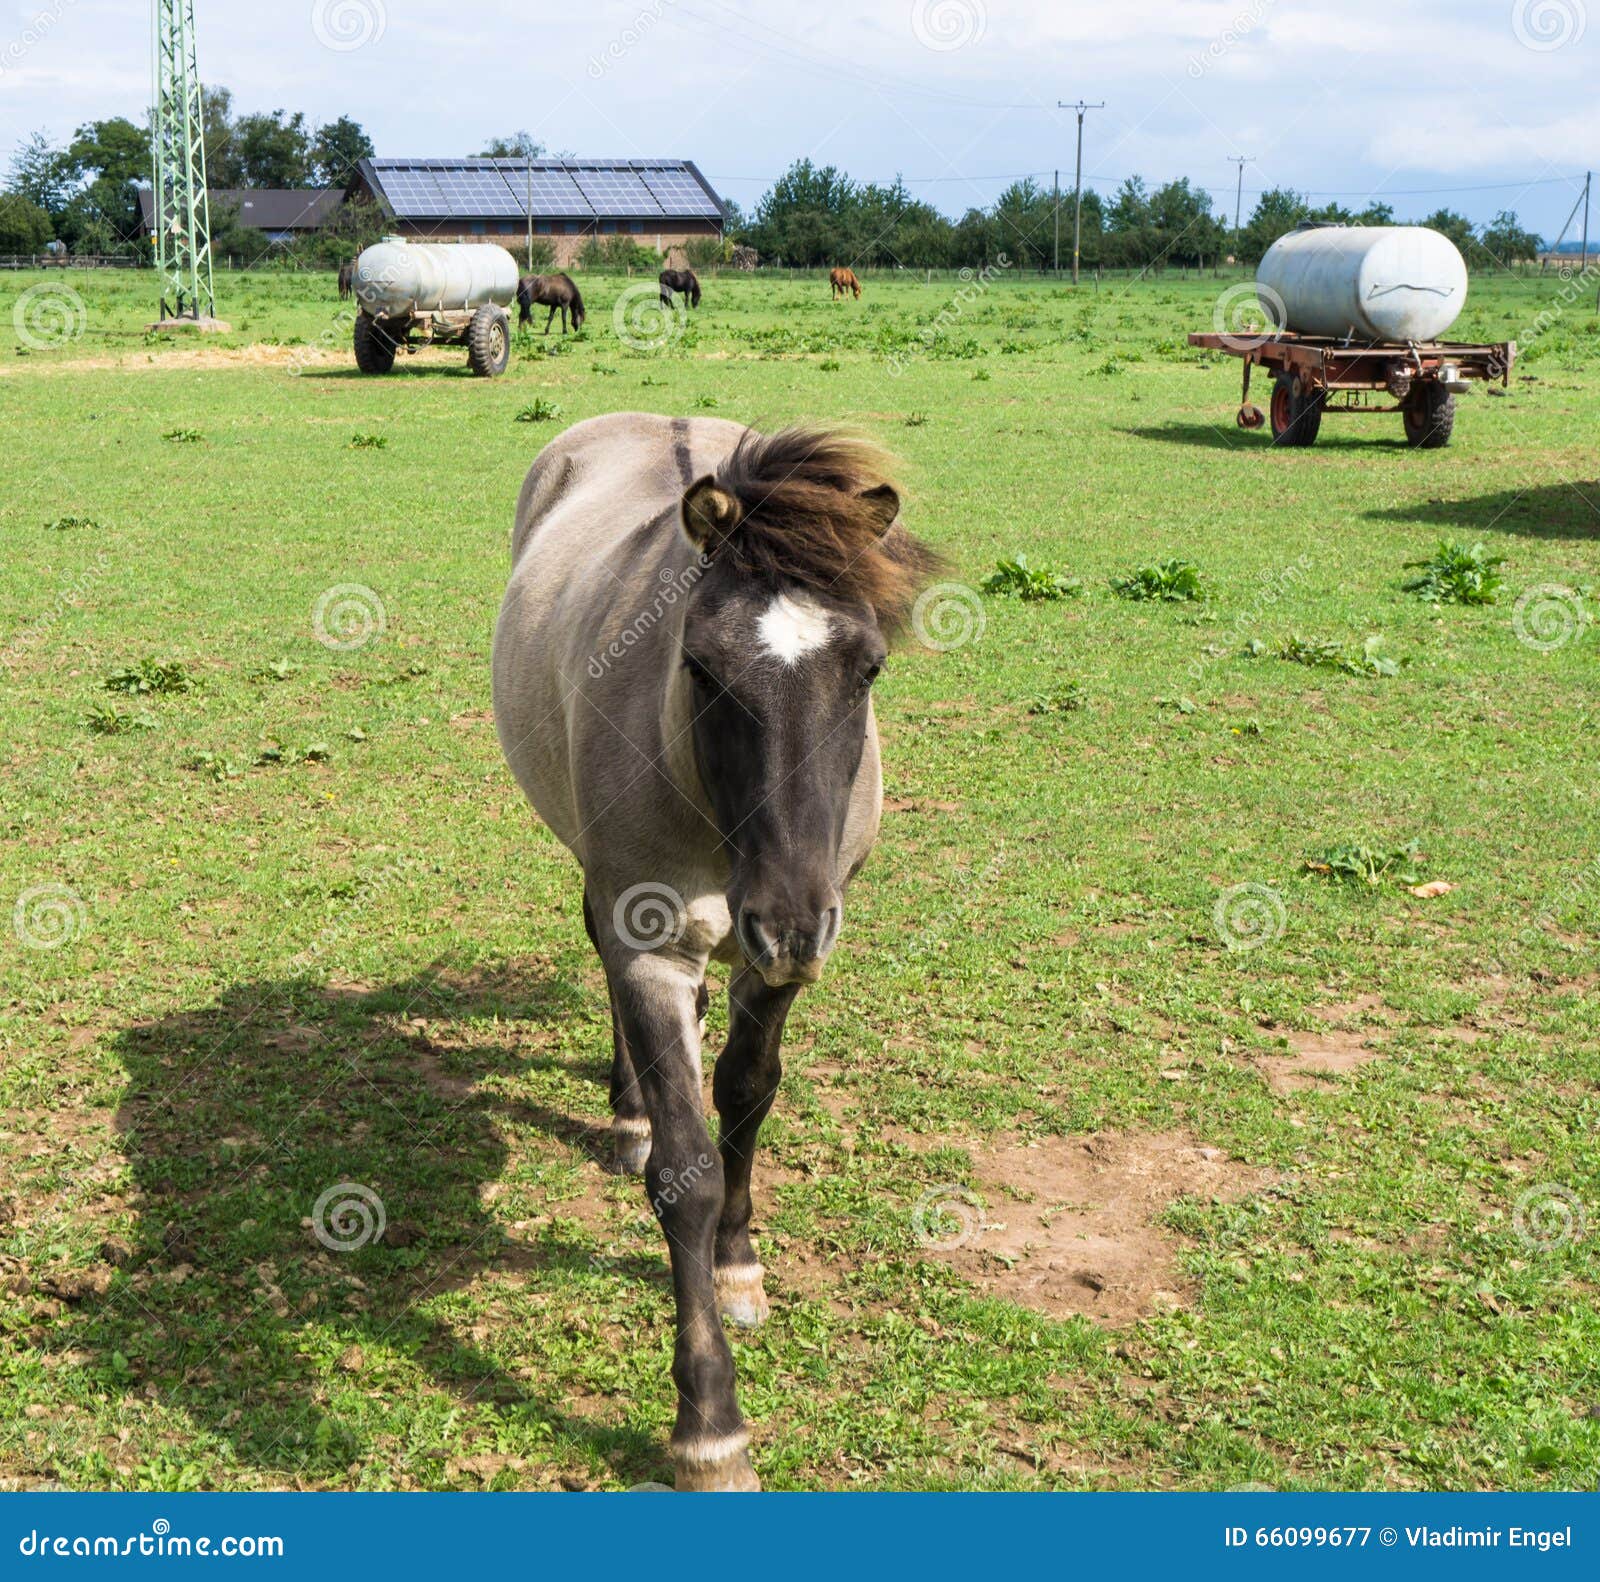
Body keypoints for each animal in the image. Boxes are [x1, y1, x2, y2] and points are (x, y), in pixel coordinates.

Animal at [492, 414, 938, 1491]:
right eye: (700, 667)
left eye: (869, 667)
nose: (789, 918)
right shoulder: (650, 946)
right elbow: (685, 1168)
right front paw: (709, 1425)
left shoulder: (775, 960)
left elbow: (746, 1091)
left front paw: (738, 1262)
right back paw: (627, 1110)